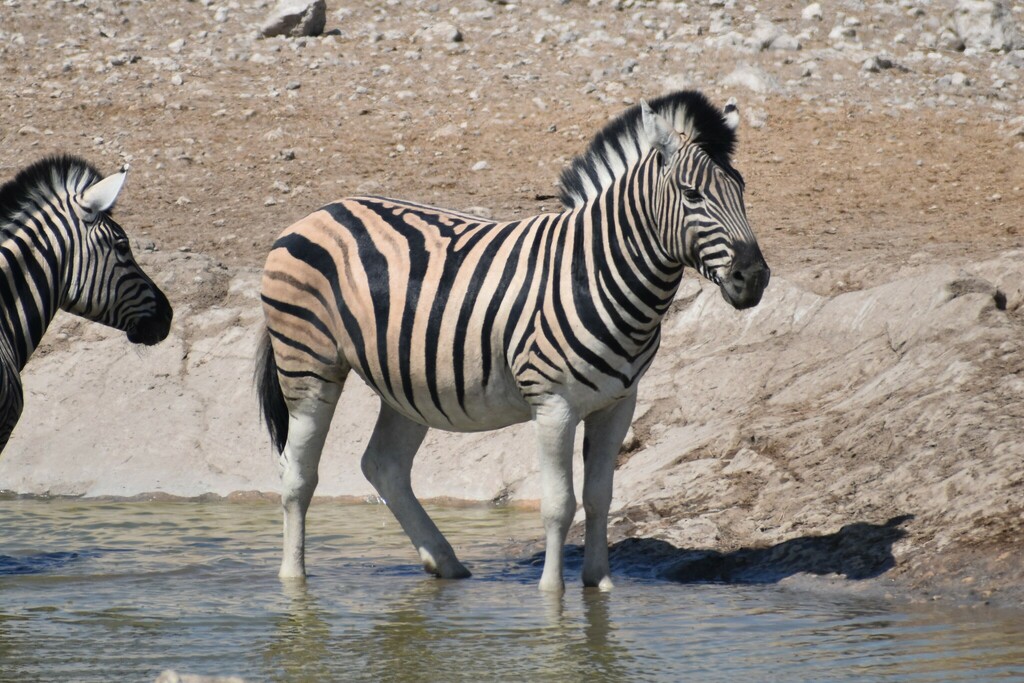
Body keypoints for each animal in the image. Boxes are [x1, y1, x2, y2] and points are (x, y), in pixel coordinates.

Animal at [257, 90, 769, 592]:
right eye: (692, 193)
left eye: (742, 189)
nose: (754, 278)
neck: (595, 269)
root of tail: (323, 209)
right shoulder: (553, 405)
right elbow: (560, 505)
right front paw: (552, 595)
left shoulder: (618, 403)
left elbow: (600, 497)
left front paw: (600, 585)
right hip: (308, 366)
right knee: (297, 475)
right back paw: (293, 581)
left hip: (406, 382)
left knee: (384, 465)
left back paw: (446, 564)